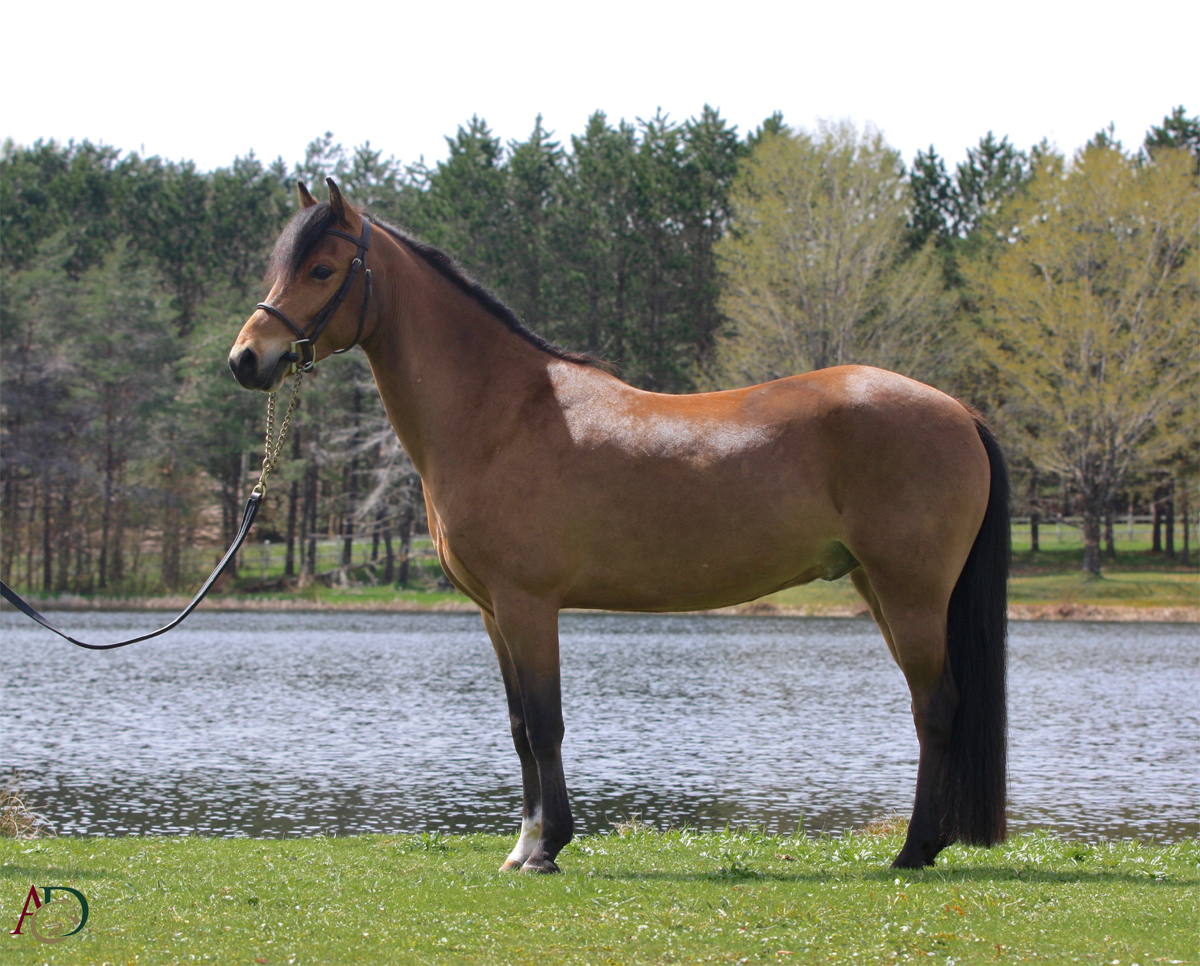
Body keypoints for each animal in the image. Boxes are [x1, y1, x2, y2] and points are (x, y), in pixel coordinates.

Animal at [229, 179, 1010, 872]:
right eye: (277, 266)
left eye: (322, 269)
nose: (246, 359)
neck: (501, 414)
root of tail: (957, 411)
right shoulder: (492, 613)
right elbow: (520, 728)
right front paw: (521, 847)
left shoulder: (529, 605)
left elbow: (546, 723)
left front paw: (548, 849)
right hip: (878, 588)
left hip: (910, 593)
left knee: (936, 707)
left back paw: (914, 850)